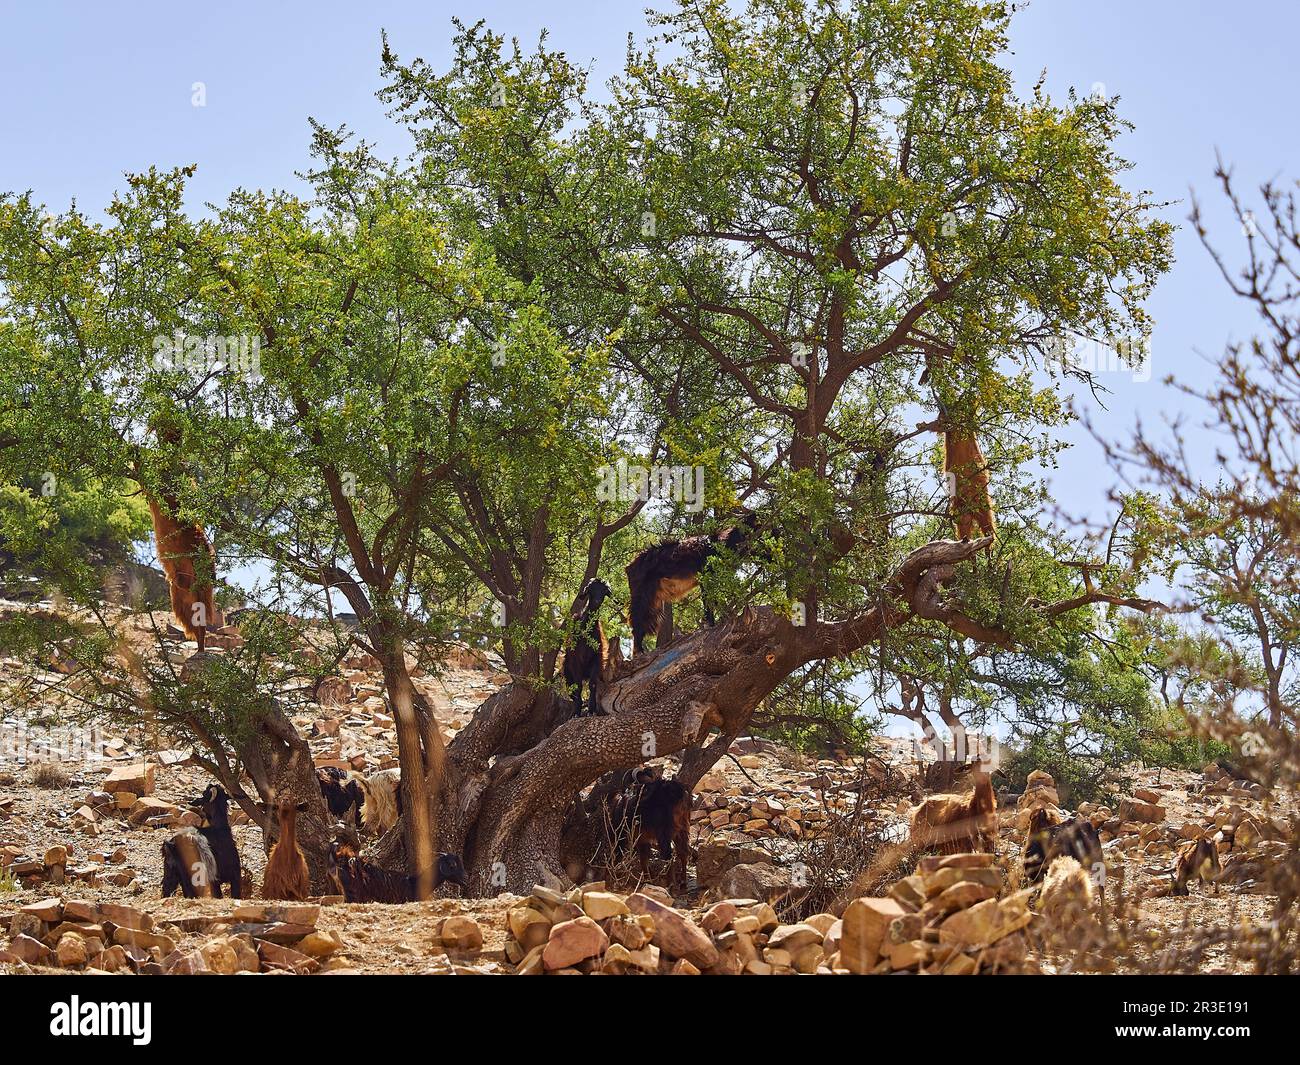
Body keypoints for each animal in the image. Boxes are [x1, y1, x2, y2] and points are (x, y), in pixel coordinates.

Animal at [562, 578, 612, 716]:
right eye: (590, 589)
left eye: (604, 591)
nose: (597, 601)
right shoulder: (575, 661)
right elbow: (578, 687)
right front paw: (576, 713)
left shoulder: (596, 659)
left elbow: (592, 685)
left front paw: (591, 710)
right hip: (567, 672)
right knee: (572, 691)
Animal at [626, 513, 760, 653]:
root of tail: (630, 566)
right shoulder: (706, 577)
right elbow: (709, 603)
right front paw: (711, 624)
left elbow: (713, 601)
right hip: (643, 597)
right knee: (637, 622)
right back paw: (639, 650)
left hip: (654, 601)